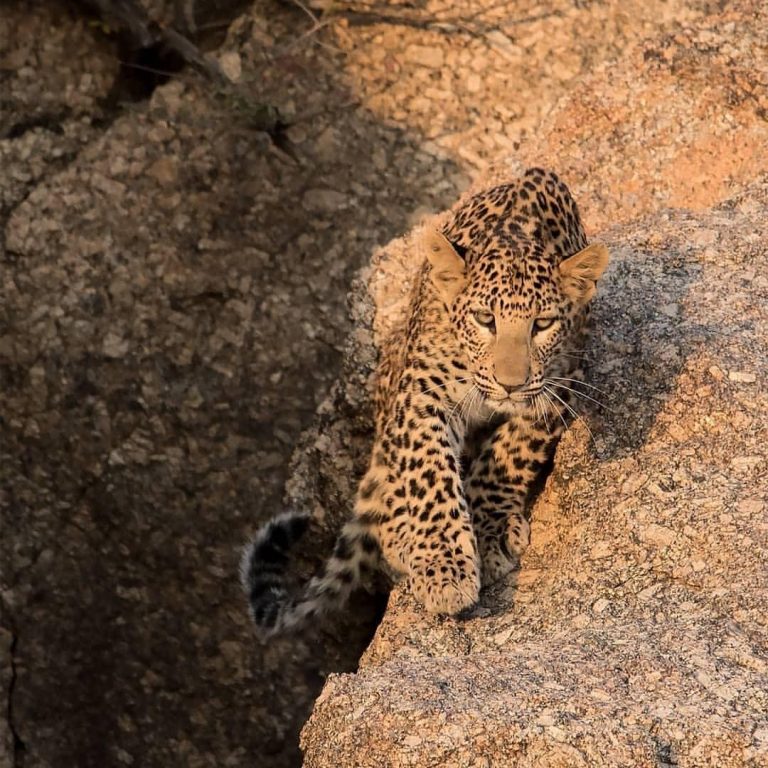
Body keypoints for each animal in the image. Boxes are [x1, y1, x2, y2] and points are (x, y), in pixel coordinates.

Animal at [241, 167, 609, 634]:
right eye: (484, 319)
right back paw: (402, 533)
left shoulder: (558, 384)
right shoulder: (422, 393)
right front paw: (444, 570)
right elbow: (429, 472)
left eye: (542, 325)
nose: (510, 384)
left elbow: (509, 454)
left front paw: (490, 531)